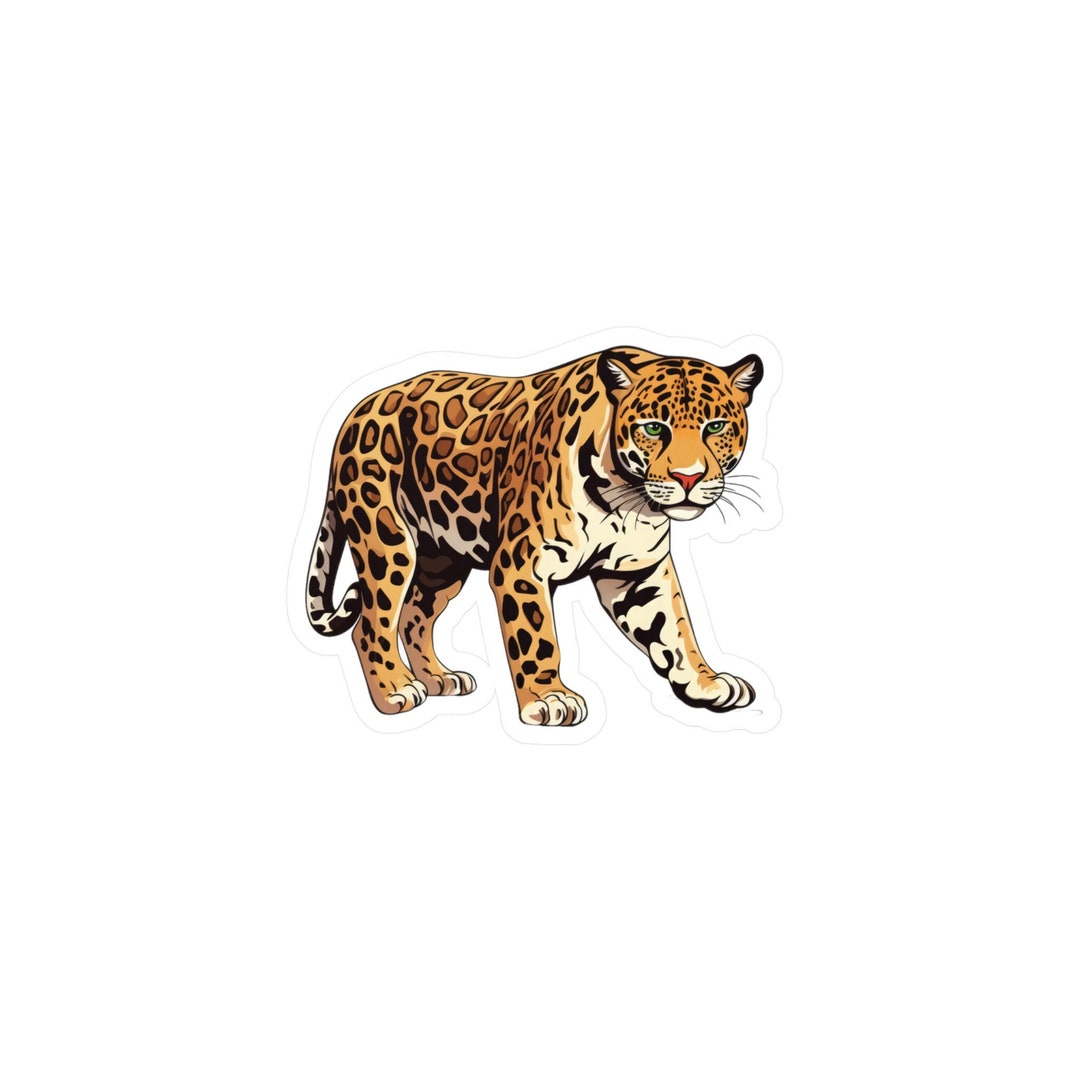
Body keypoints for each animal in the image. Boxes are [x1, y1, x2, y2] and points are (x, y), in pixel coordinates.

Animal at [306, 346, 764, 726]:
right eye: (653, 428)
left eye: (715, 426)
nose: (688, 477)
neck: (630, 499)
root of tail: (356, 412)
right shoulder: (522, 565)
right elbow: (537, 638)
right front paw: (549, 699)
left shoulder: (638, 571)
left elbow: (675, 629)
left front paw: (706, 683)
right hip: (387, 538)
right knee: (371, 621)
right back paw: (396, 690)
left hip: (443, 557)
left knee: (414, 615)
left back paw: (439, 678)